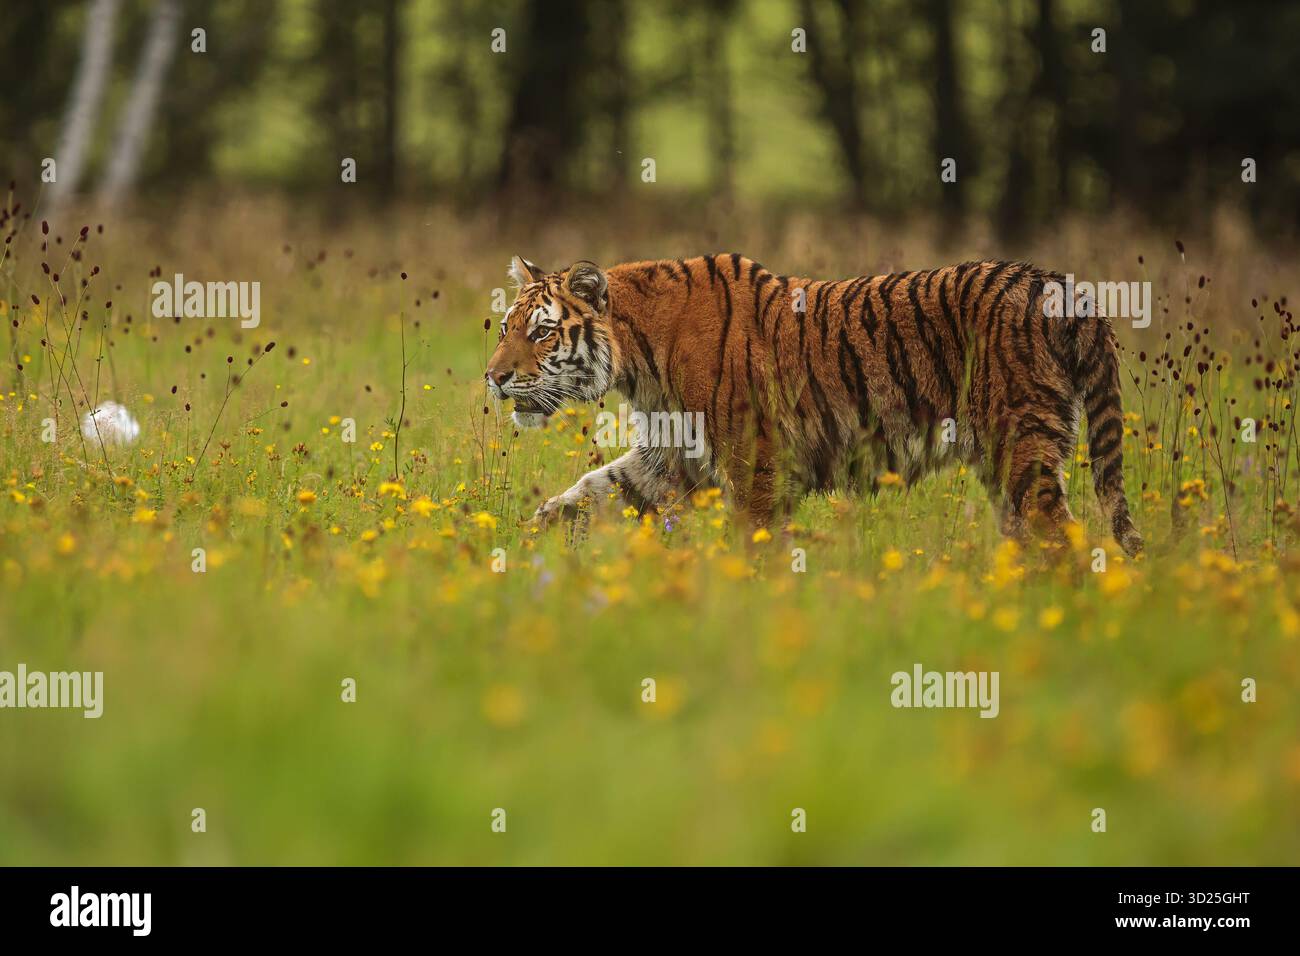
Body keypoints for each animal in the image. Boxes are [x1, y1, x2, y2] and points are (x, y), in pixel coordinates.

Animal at [485, 254, 1143, 557]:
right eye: (506, 326)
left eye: (541, 333)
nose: (493, 378)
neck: (638, 361)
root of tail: (1052, 282)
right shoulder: (669, 460)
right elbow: (582, 497)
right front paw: (517, 554)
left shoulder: (756, 467)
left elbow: (756, 548)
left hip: (1021, 444)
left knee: (1064, 538)